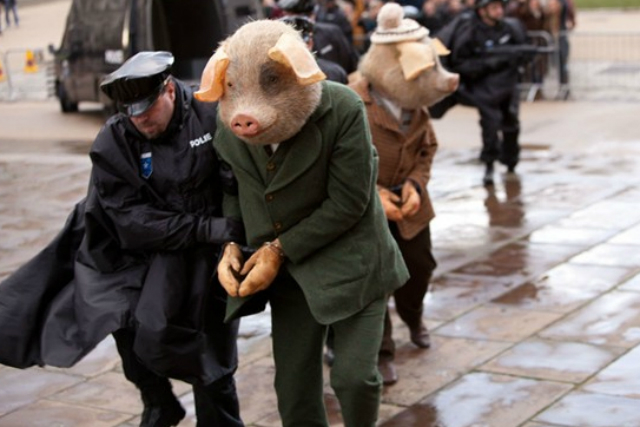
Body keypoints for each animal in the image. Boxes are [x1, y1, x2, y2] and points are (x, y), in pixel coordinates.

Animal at [194, 18, 410, 427]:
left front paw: (262, 262)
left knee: (354, 377)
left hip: (372, 287)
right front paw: (234, 271)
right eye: (230, 84)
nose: (241, 117)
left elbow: (342, 201)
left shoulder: (352, 139)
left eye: (272, 78)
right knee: (294, 383)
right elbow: (232, 203)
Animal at [347, 1, 459, 386]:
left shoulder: (423, 128)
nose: (456, 78)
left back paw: (421, 337)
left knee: (420, 269)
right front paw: (386, 371)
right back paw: (386, 368)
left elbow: (426, 152)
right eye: (431, 62)